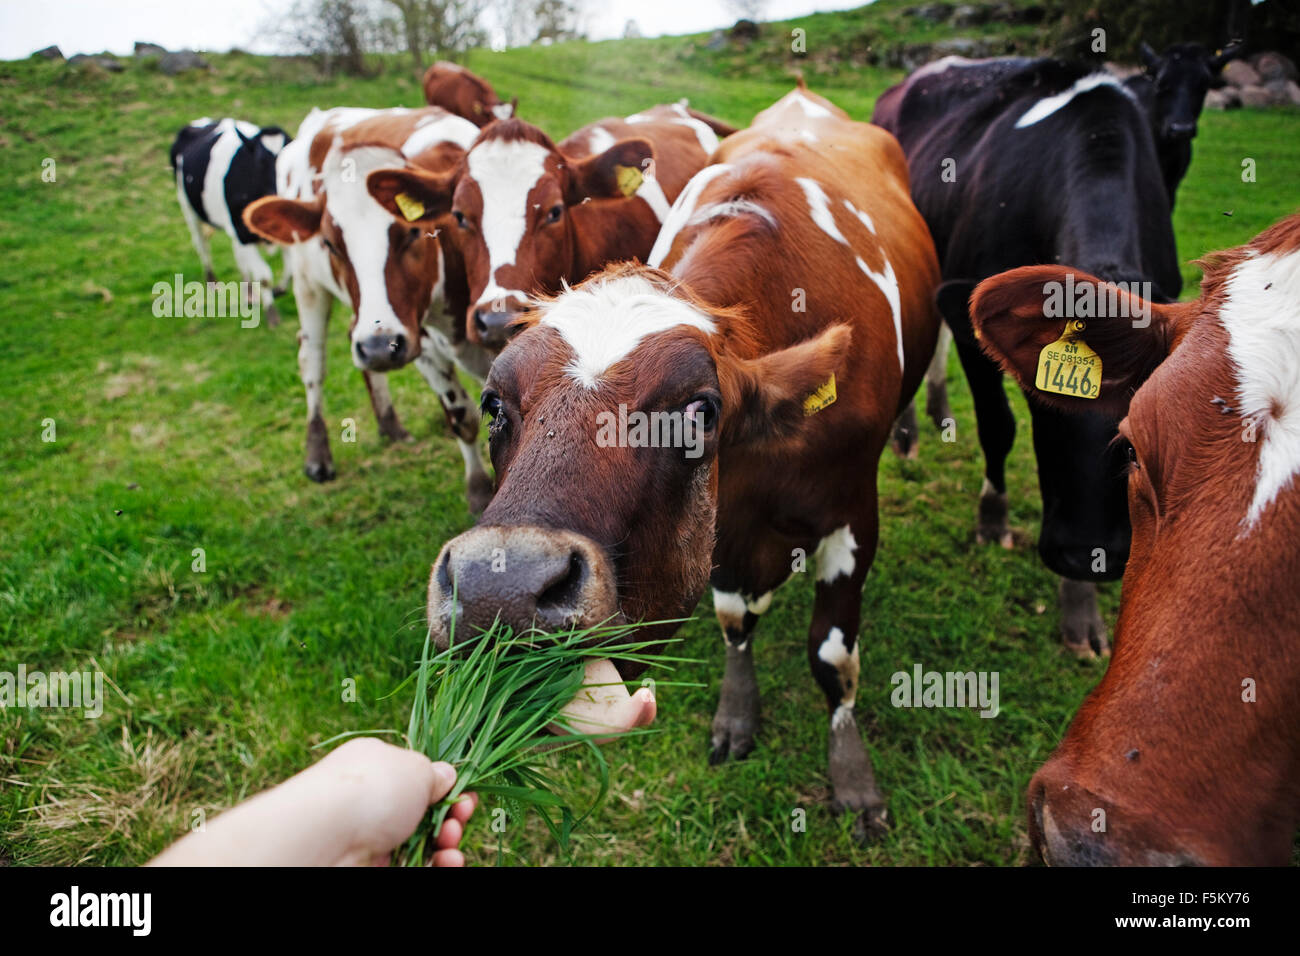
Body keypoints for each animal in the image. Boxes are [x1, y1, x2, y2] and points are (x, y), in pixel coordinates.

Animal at [170, 117, 291, 326]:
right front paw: (272, 314)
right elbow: (264, 276)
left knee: (239, 257)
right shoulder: (241, 232)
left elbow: (290, 270)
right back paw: (212, 282)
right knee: (202, 245)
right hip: (188, 206)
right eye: (260, 161)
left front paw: (278, 290)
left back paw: (249, 293)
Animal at [243, 106, 494, 511]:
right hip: (309, 286)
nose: (379, 347)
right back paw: (318, 455)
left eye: (412, 232)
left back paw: (389, 424)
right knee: (312, 361)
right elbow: (464, 417)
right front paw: (479, 493)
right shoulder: (421, 342)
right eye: (330, 243)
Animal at [421, 84, 940, 837]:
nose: (501, 590)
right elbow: (735, 620)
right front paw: (736, 714)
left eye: (697, 411)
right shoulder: (719, 530)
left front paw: (853, 779)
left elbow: (833, 655)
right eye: (494, 405)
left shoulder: (851, 514)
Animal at [873, 56, 1183, 658]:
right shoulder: (972, 317)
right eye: (1045, 411)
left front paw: (1081, 609)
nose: (1082, 555)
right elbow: (997, 426)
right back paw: (908, 431)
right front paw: (993, 519)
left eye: (1137, 440)